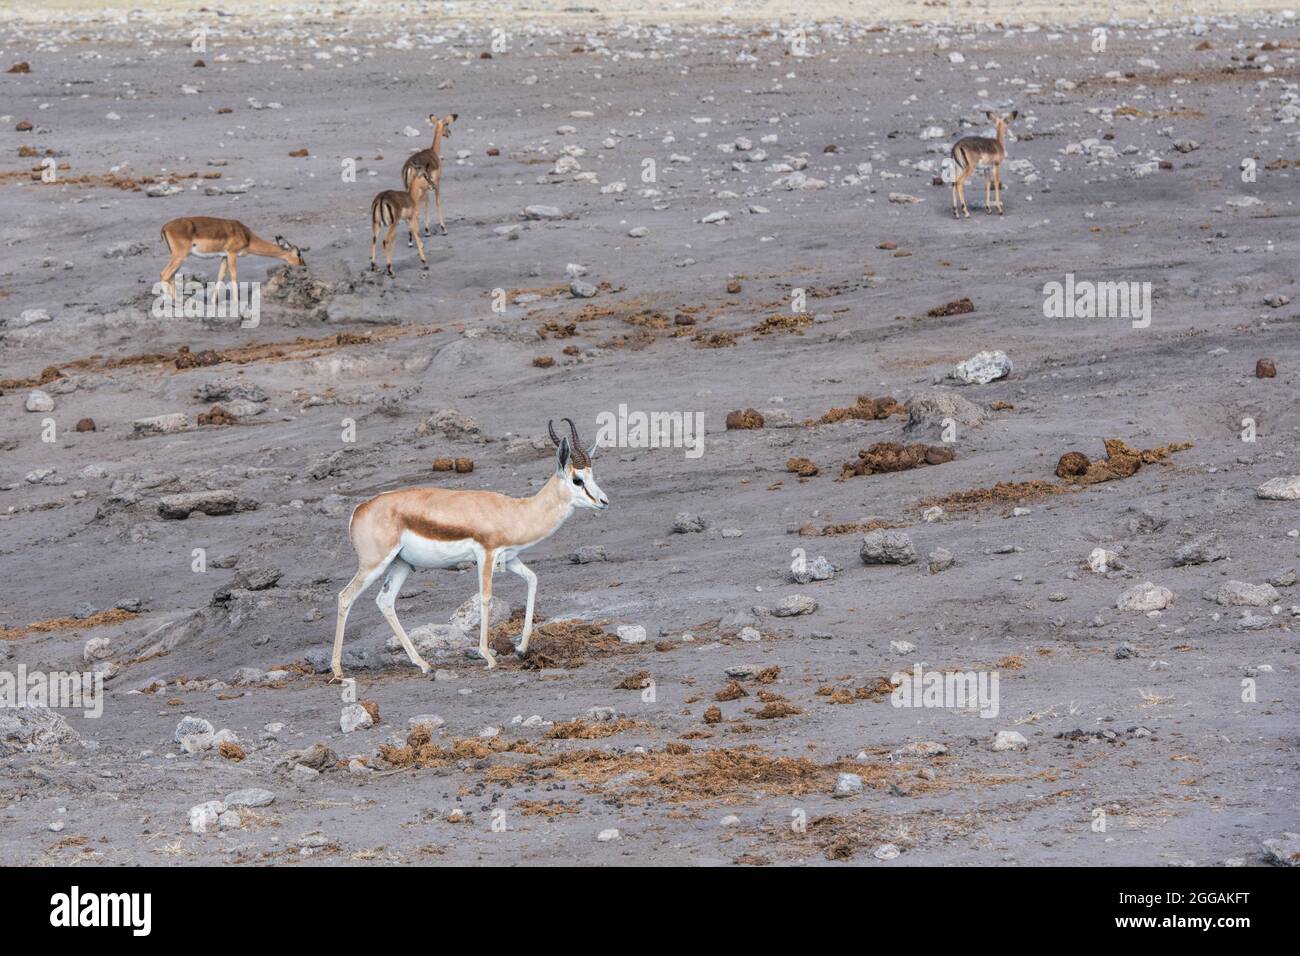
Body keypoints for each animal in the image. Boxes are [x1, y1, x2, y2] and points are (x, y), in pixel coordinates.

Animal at [159, 217, 306, 298]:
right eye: (298, 253)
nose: (303, 266)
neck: (247, 236)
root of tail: (165, 226)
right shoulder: (232, 254)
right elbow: (234, 276)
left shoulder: (224, 256)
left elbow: (220, 276)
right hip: (180, 256)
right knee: (164, 274)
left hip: (178, 257)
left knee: (170, 276)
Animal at [330, 418, 608, 680]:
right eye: (577, 480)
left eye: (592, 476)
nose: (604, 501)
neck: (516, 512)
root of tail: (360, 509)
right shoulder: (486, 555)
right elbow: (486, 597)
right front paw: (488, 657)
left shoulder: (509, 559)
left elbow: (533, 579)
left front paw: (521, 649)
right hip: (373, 564)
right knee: (345, 597)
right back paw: (337, 670)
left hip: (401, 565)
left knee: (385, 601)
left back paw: (424, 665)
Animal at [399, 112, 457, 240]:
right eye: (446, 124)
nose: (449, 133)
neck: (433, 152)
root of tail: (409, 167)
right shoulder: (436, 183)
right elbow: (436, 202)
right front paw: (442, 229)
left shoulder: (426, 188)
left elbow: (427, 203)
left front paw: (427, 230)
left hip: (408, 189)